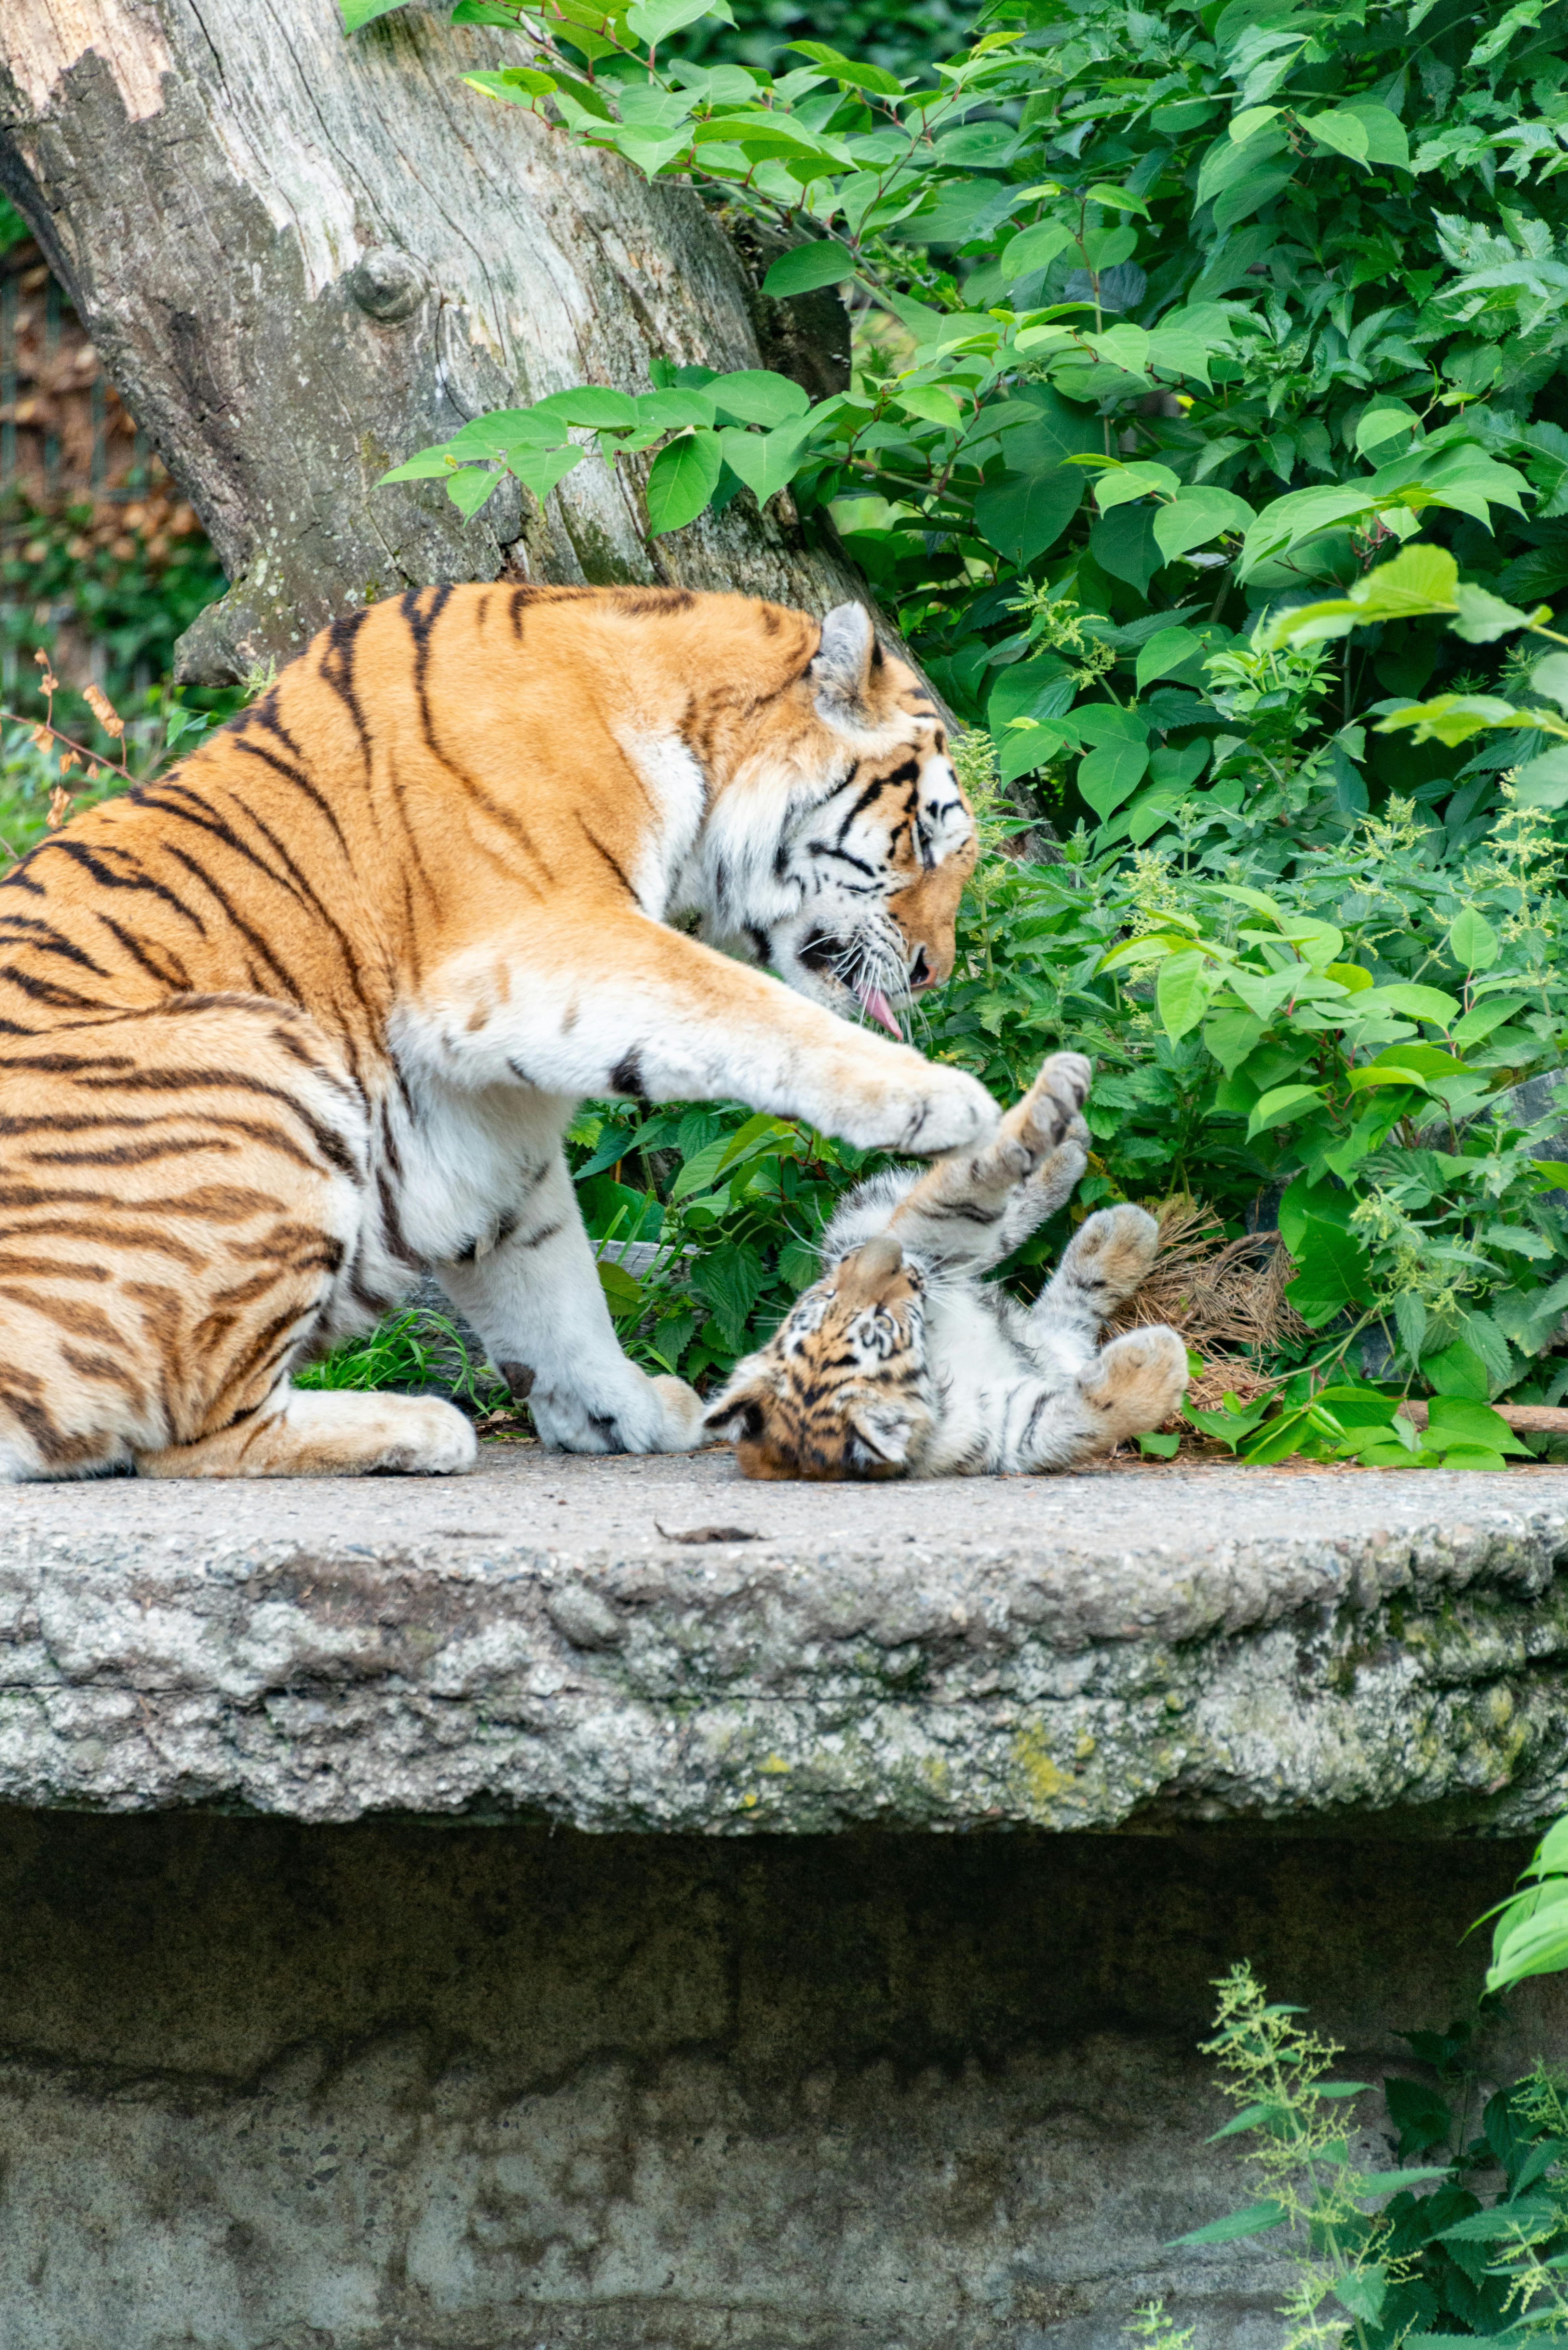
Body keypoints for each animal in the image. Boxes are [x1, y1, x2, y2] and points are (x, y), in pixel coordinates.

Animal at [0, 583, 997, 1482]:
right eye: (924, 839)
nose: (931, 972)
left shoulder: (483, 1105)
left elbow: (551, 1277)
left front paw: (622, 1410)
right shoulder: (543, 938)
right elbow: (745, 1003)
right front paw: (939, 1100)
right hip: (260, 1063)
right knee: (184, 1424)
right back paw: (413, 1426)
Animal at [702, 1051, 1189, 1478]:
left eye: (824, 1299)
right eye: (879, 1324)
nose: (874, 1256)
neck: (940, 1377)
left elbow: (962, 1196)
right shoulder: (1003, 1428)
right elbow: (1071, 1424)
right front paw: (1153, 1369)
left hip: (883, 1220)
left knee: (973, 1200)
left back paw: (1067, 1152)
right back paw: (1118, 1228)